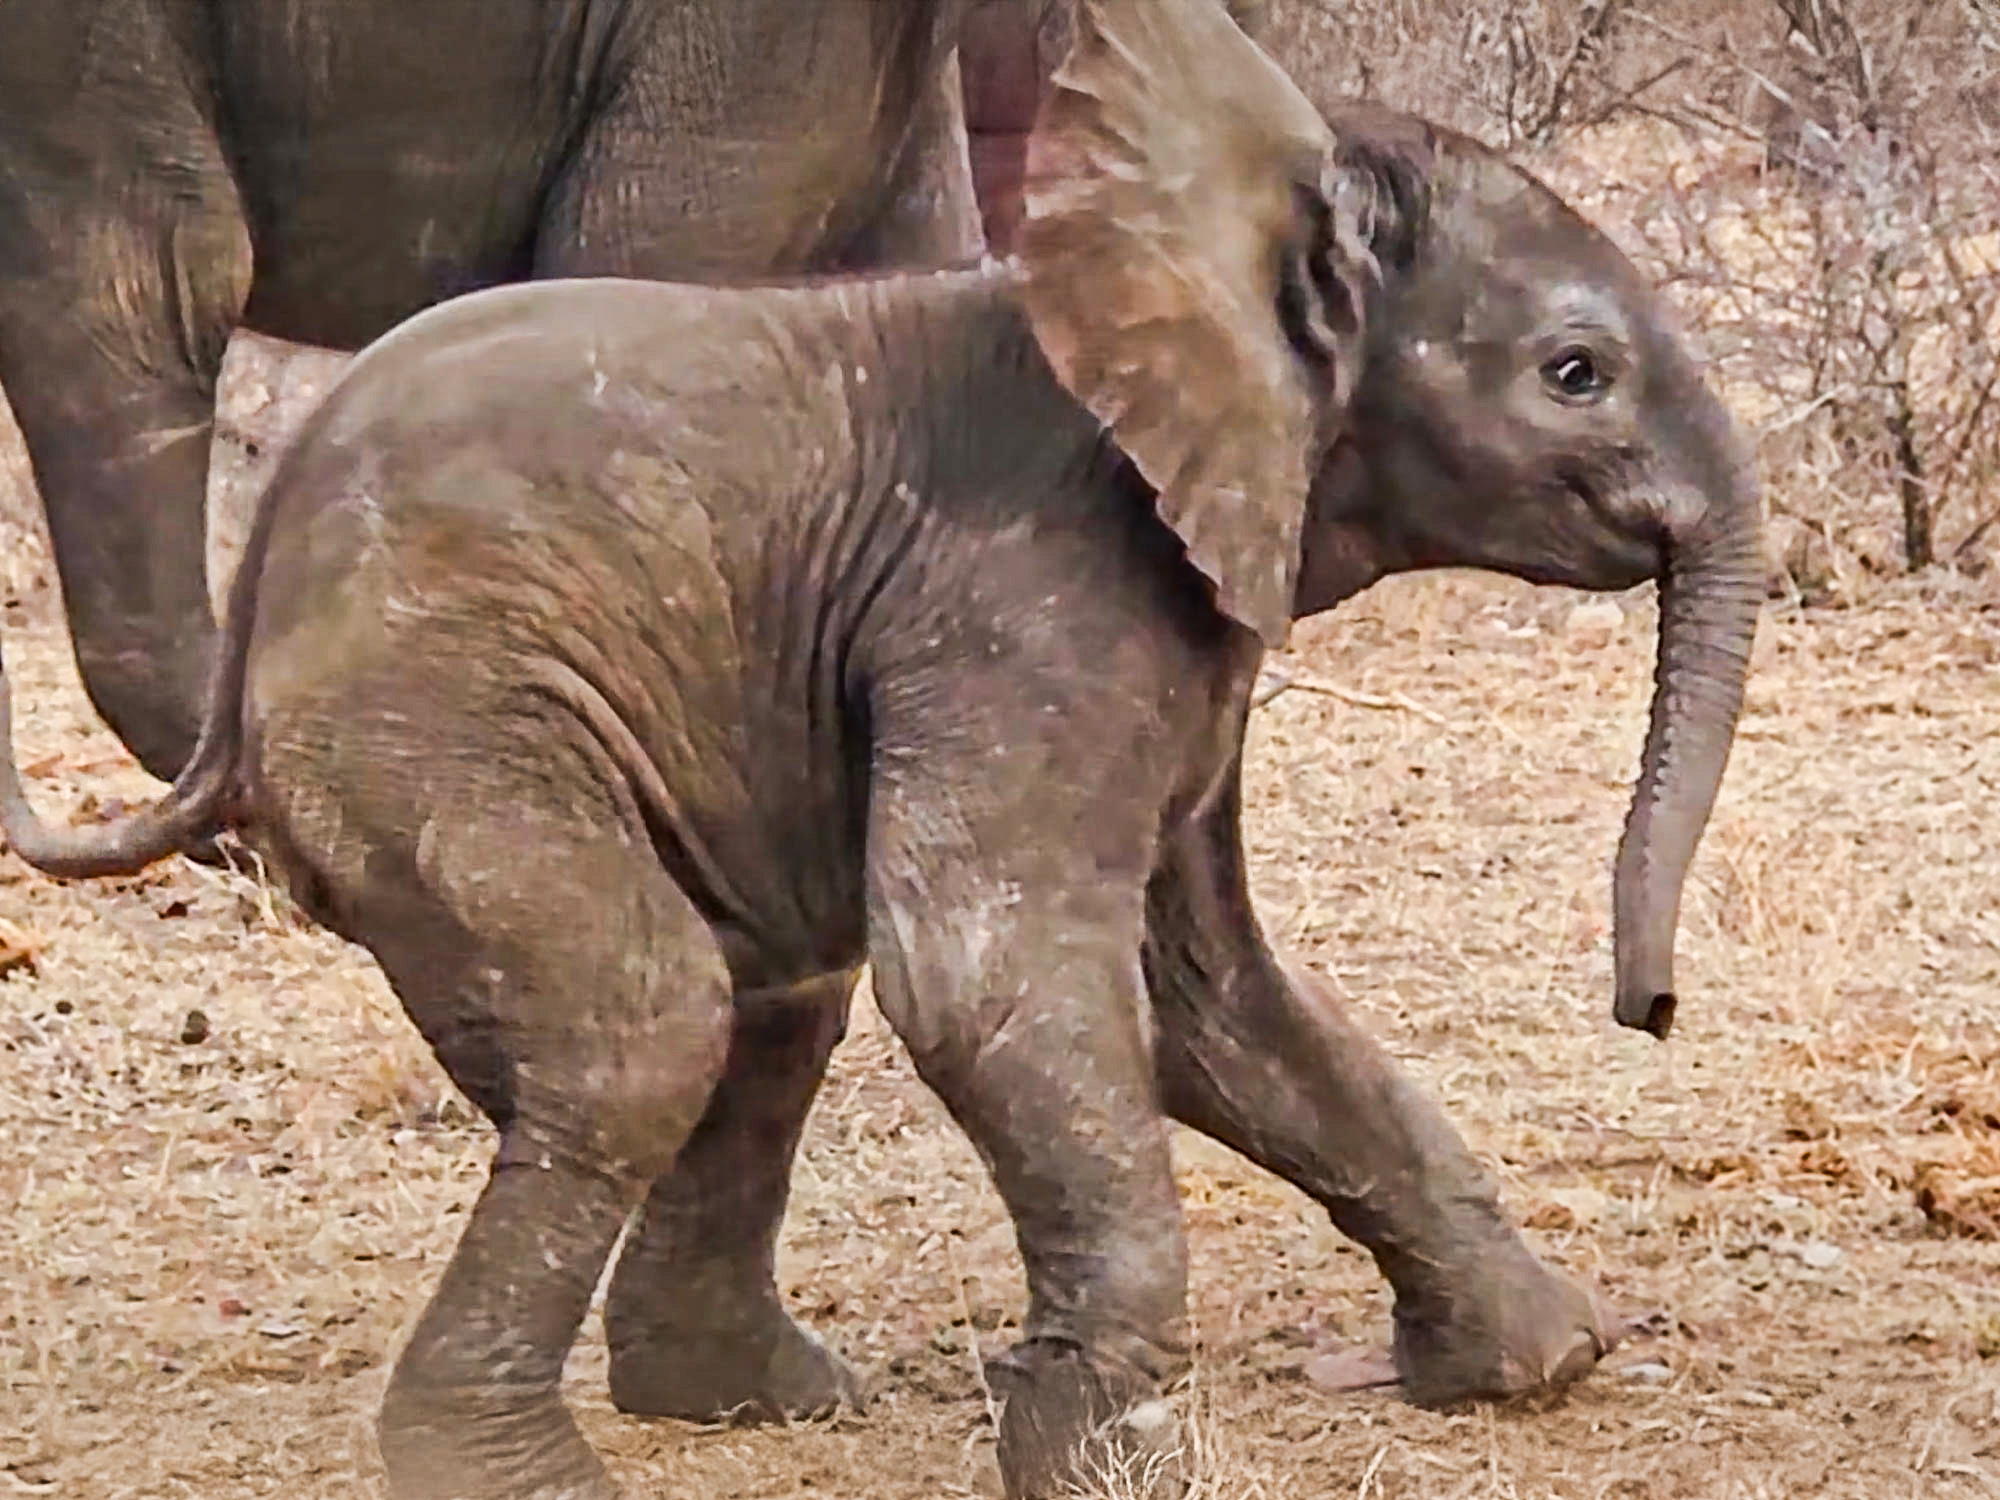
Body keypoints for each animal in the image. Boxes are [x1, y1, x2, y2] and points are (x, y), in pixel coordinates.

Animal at [0, 0, 1763, 1494]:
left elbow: (1213, 1001)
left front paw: (1537, 1364)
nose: (1655, 1010)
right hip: (432, 722)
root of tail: (248, 663)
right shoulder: (1027, 600)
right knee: (642, 1021)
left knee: (760, 998)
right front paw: (1101, 1466)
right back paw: (529, 1470)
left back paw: (752, 1399)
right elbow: (993, 980)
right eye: (1578, 373)